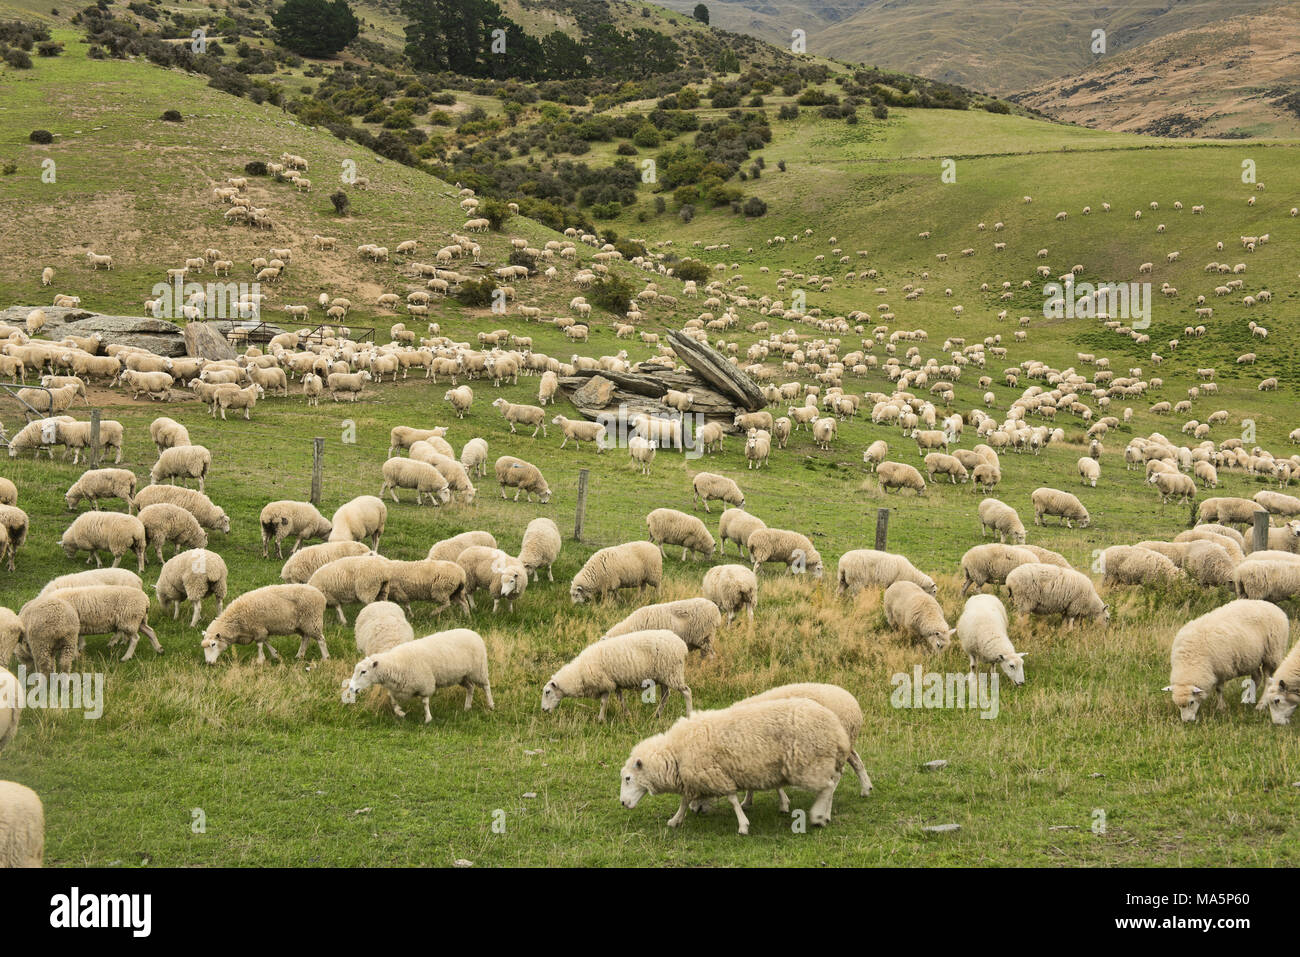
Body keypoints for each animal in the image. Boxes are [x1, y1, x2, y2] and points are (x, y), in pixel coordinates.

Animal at [344, 628, 493, 721]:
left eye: (363, 672)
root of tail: (473, 632)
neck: (396, 663)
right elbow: (392, 700)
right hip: (462, 676)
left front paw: (428, 719)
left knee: (486, 686)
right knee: (470, 687)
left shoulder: (425, 684)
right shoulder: (398, 689)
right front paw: (400, 713)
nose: (351, 688)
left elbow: (425, 702)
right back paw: (467, 707)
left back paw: (491, 705)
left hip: (478, 670)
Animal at [543, 629, 692, 721]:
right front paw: (627, 715)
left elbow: (603, 702)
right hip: (664, 676)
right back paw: (656, 715)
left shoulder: (605, 682)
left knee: (687, 692)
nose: (543, 709)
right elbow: (621, 700)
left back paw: (689, 714)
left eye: (547, 692)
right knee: (665, 696)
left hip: (672, 673)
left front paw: (600, 719)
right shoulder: (615, 683)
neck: (578, 673)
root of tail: (681, 645)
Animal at [619, 697, 847, 834]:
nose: (622, 803)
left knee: (828, 786)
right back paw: (825, 814)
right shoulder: (694, 778)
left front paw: (743, 825)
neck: (676, 752)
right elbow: (684, 801)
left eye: (628, 778)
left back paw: (818, 816)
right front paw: (676, 820)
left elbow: (732, 799)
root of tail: (836, 727)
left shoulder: (714, 774)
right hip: (819, 762)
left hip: (807, 764)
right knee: (832, 784)